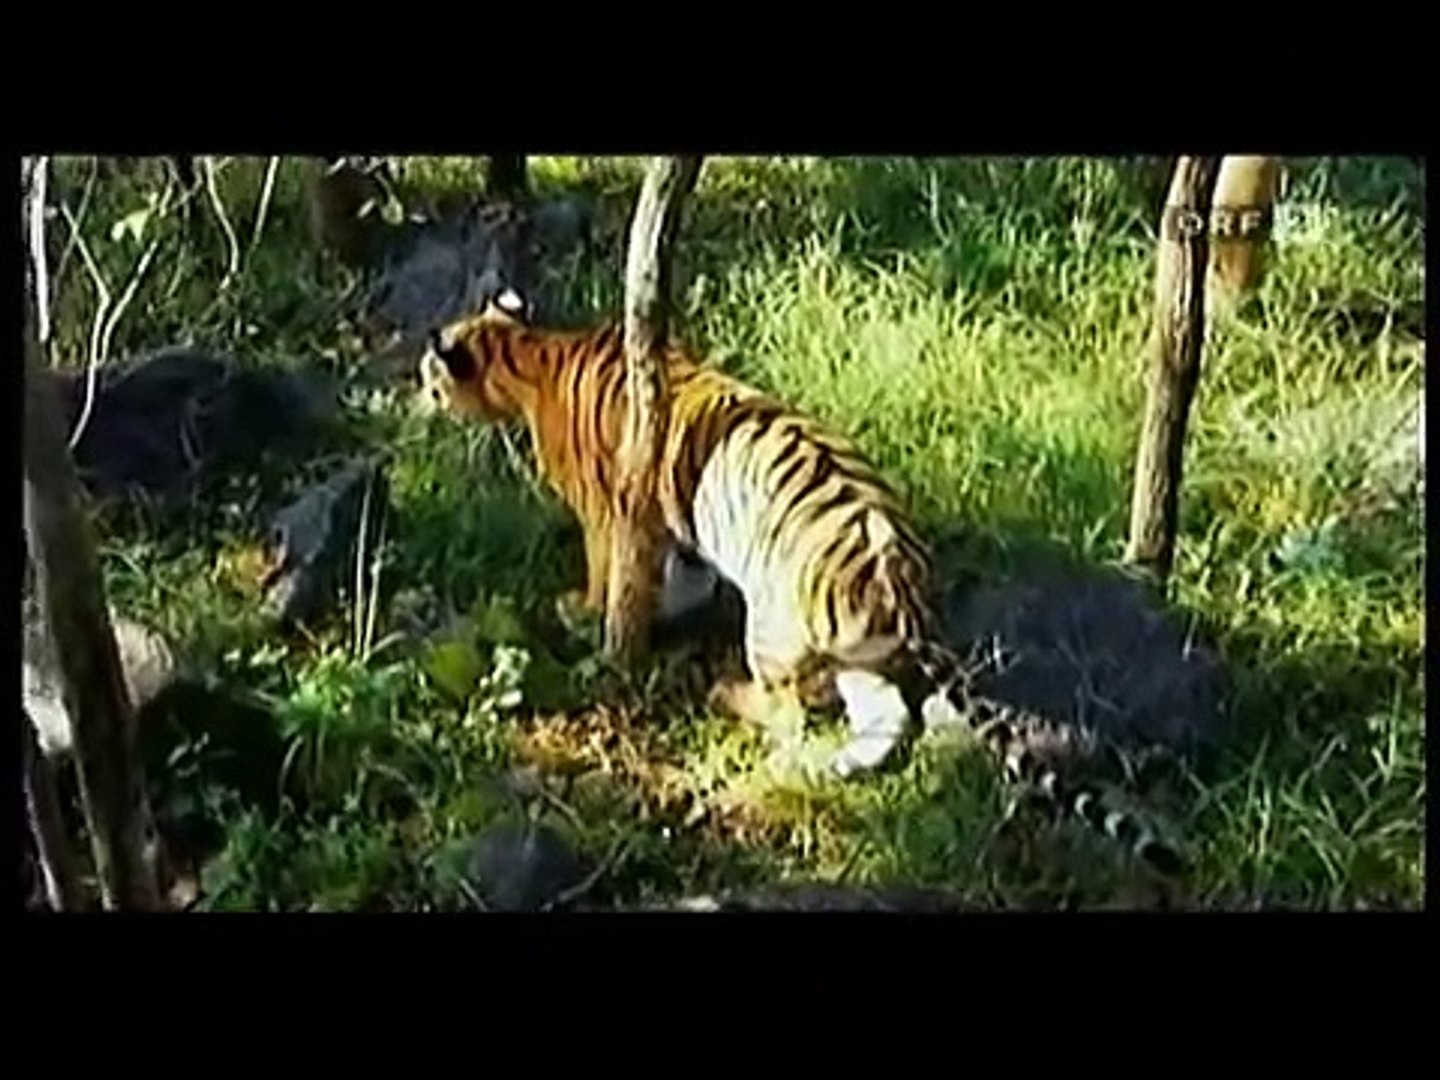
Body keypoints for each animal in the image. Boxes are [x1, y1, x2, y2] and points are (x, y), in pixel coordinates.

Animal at [419, 303, 1183, 874]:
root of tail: (897, 570)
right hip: (858, 654)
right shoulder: (667, 526)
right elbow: (674, 573)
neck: (530, 351)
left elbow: (608, 572)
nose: (413, 388)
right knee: (884, 722)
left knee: (790, 718)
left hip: (771, 625)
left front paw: (584, 610)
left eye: (430, 372)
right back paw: (835, 763)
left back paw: (739, 709)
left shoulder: (608, 514)